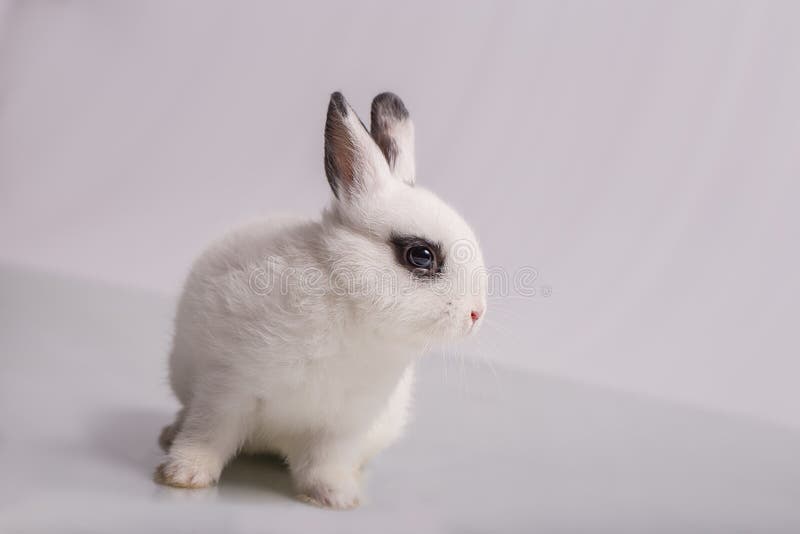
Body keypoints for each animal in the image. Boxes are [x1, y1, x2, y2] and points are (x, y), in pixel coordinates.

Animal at [156, 91, 487, 509]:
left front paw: (336, 497)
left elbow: (324, 463)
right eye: (421, 255)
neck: (349, 306)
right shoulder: (227, 388)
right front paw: (183, 475)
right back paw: (168, 434)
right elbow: (207, 435)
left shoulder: (342, 426)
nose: (476, 313)